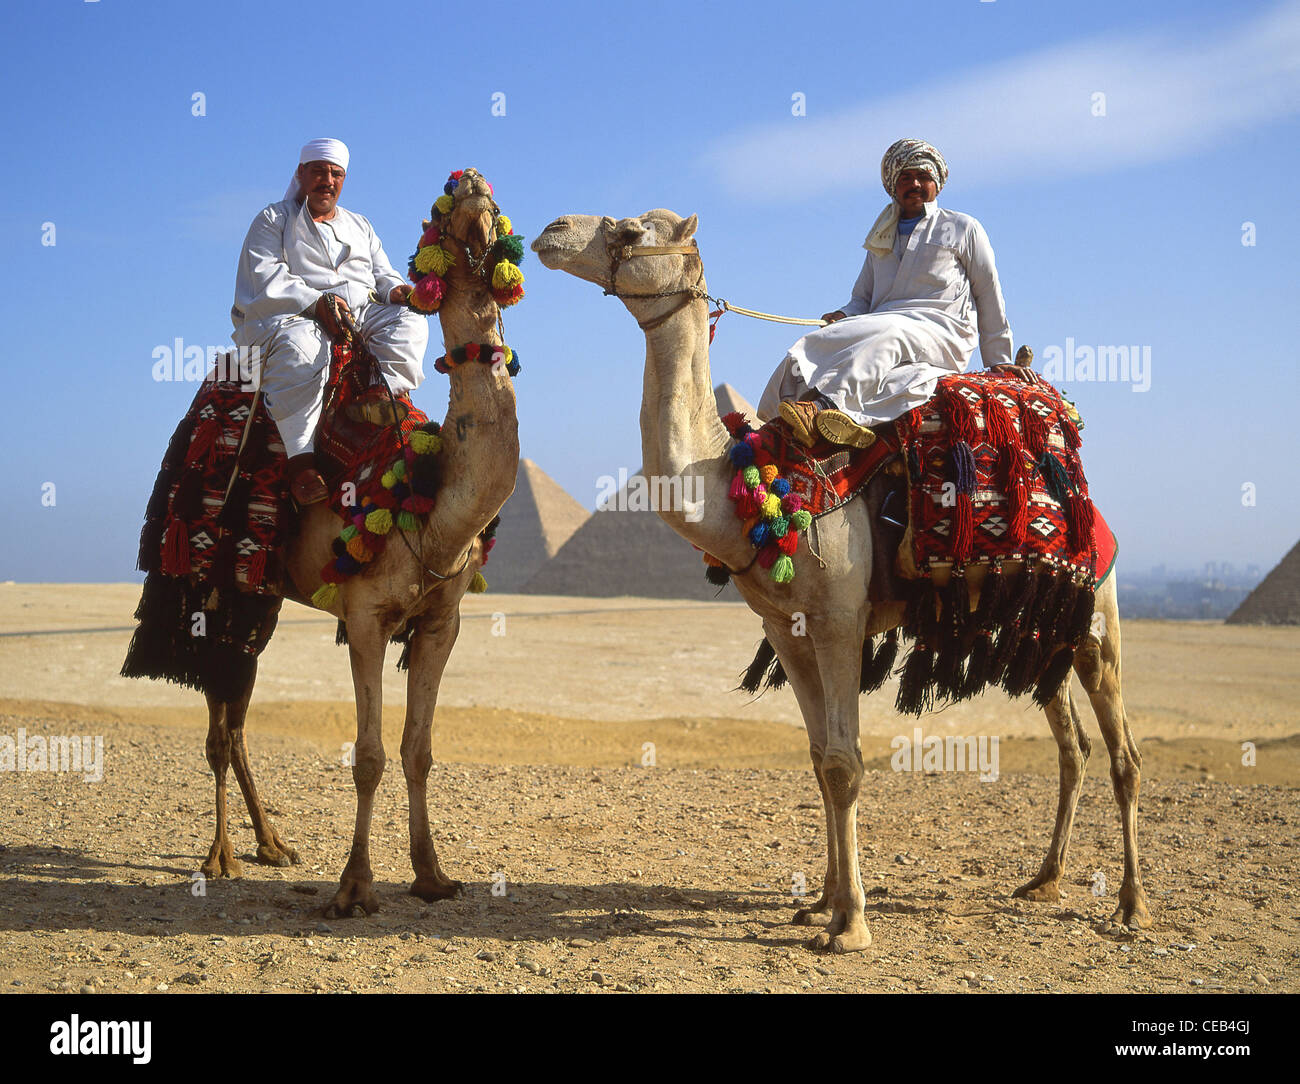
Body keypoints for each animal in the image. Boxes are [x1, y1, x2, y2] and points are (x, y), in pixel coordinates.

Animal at [200, 169, 519, 918]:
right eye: (443, 209)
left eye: (495, 203)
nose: (475, 198)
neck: (432, 500)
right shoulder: (367, 616)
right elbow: (369, 755)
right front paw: (354, 888)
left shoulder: (441, 621)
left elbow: (418, 750)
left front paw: (432, 875)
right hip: (212, 585)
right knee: (218, 727)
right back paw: (222, 855)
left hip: (261, 600)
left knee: (236, 715)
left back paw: (271, 845)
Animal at [532, 208, 1150, 953]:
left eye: (628, 231)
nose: (553, 229)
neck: (747, 485)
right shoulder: (787, 628)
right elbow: (818, 755)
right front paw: (821, 902)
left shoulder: (838, 621)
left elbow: (845, 763)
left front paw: (850, 924)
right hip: (1034, 624)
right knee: (1074, 749)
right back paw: (1044, 880)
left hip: (1095, 619)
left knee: (1123, 755)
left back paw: (1130, 907)